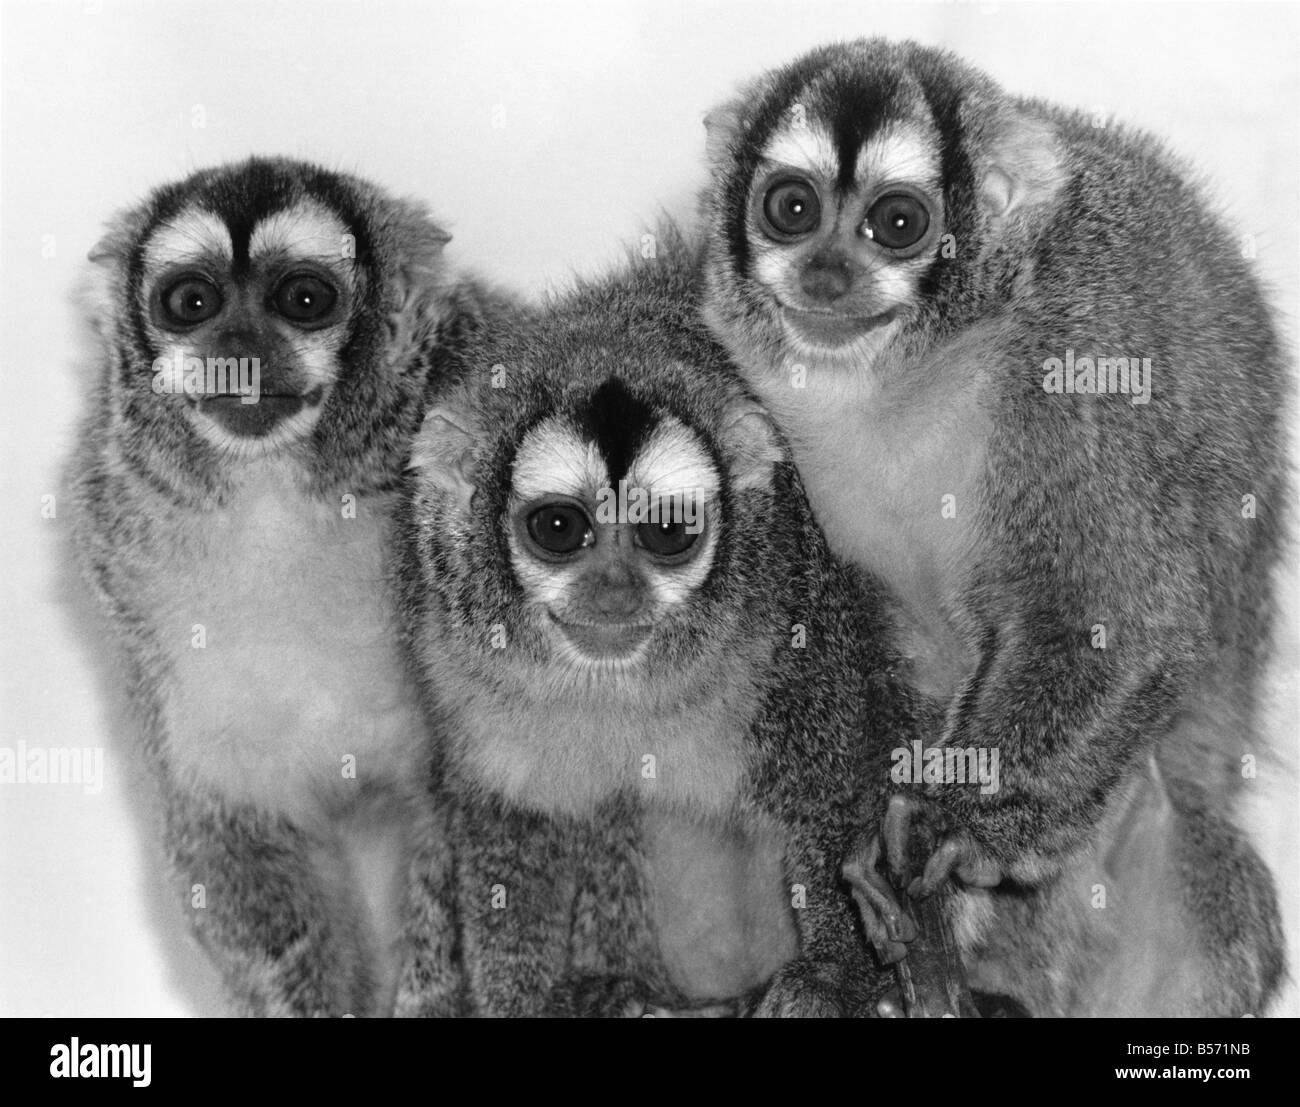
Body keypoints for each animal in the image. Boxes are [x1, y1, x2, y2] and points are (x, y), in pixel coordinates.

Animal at [67, 156, 510, 1017]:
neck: (276, 491)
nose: (237, 346)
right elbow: (233, 819)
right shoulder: (119, 553)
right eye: (191, 302)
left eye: (304, 299)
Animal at [391, 223, 943, 1018]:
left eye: (667, 531)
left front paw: (835, 975)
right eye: (559, 527)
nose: (615, 593)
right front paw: (520, 998)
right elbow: (512, 818)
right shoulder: (455, 654)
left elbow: (844, 769)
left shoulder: (795, 618)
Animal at [698, 38, 1288, 1016]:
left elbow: (1117, 615)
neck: (913, 370)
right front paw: (848, 966)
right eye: (791, 207)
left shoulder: (1073, 372)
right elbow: (841, 665)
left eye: (897, 222)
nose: (825, 272)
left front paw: (960, 821)